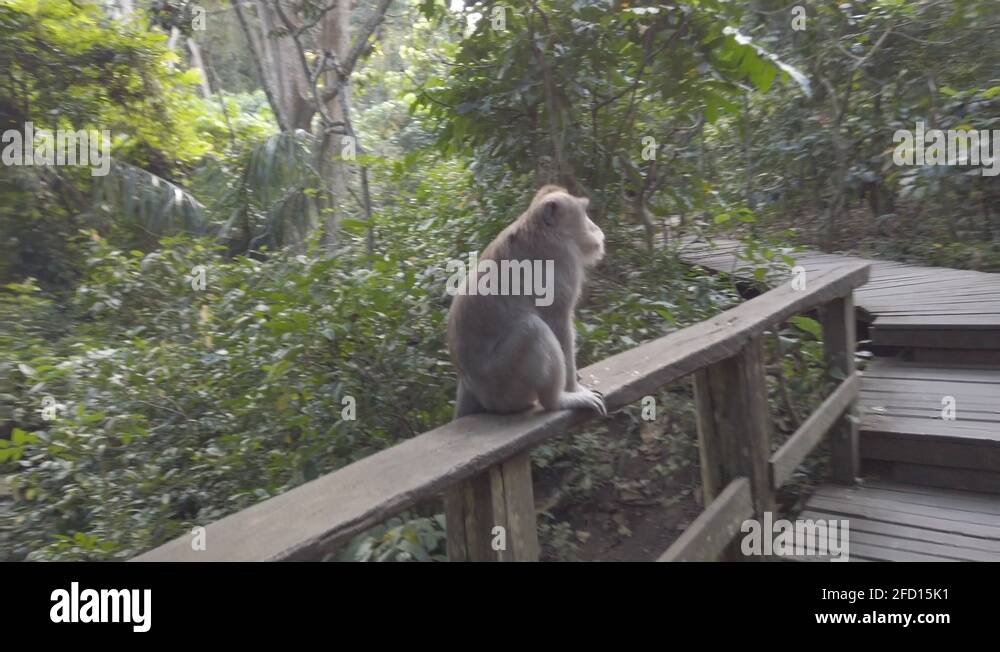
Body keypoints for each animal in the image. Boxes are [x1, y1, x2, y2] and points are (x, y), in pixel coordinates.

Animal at [447, 185, 607, 419]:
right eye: (584, 212)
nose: (596, 228)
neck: (541, 228)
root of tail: (468, 386)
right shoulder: (563, 260)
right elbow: (558, 321)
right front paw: (573, 388)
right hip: (504, 383)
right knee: (533, 329)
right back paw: (556, 401)